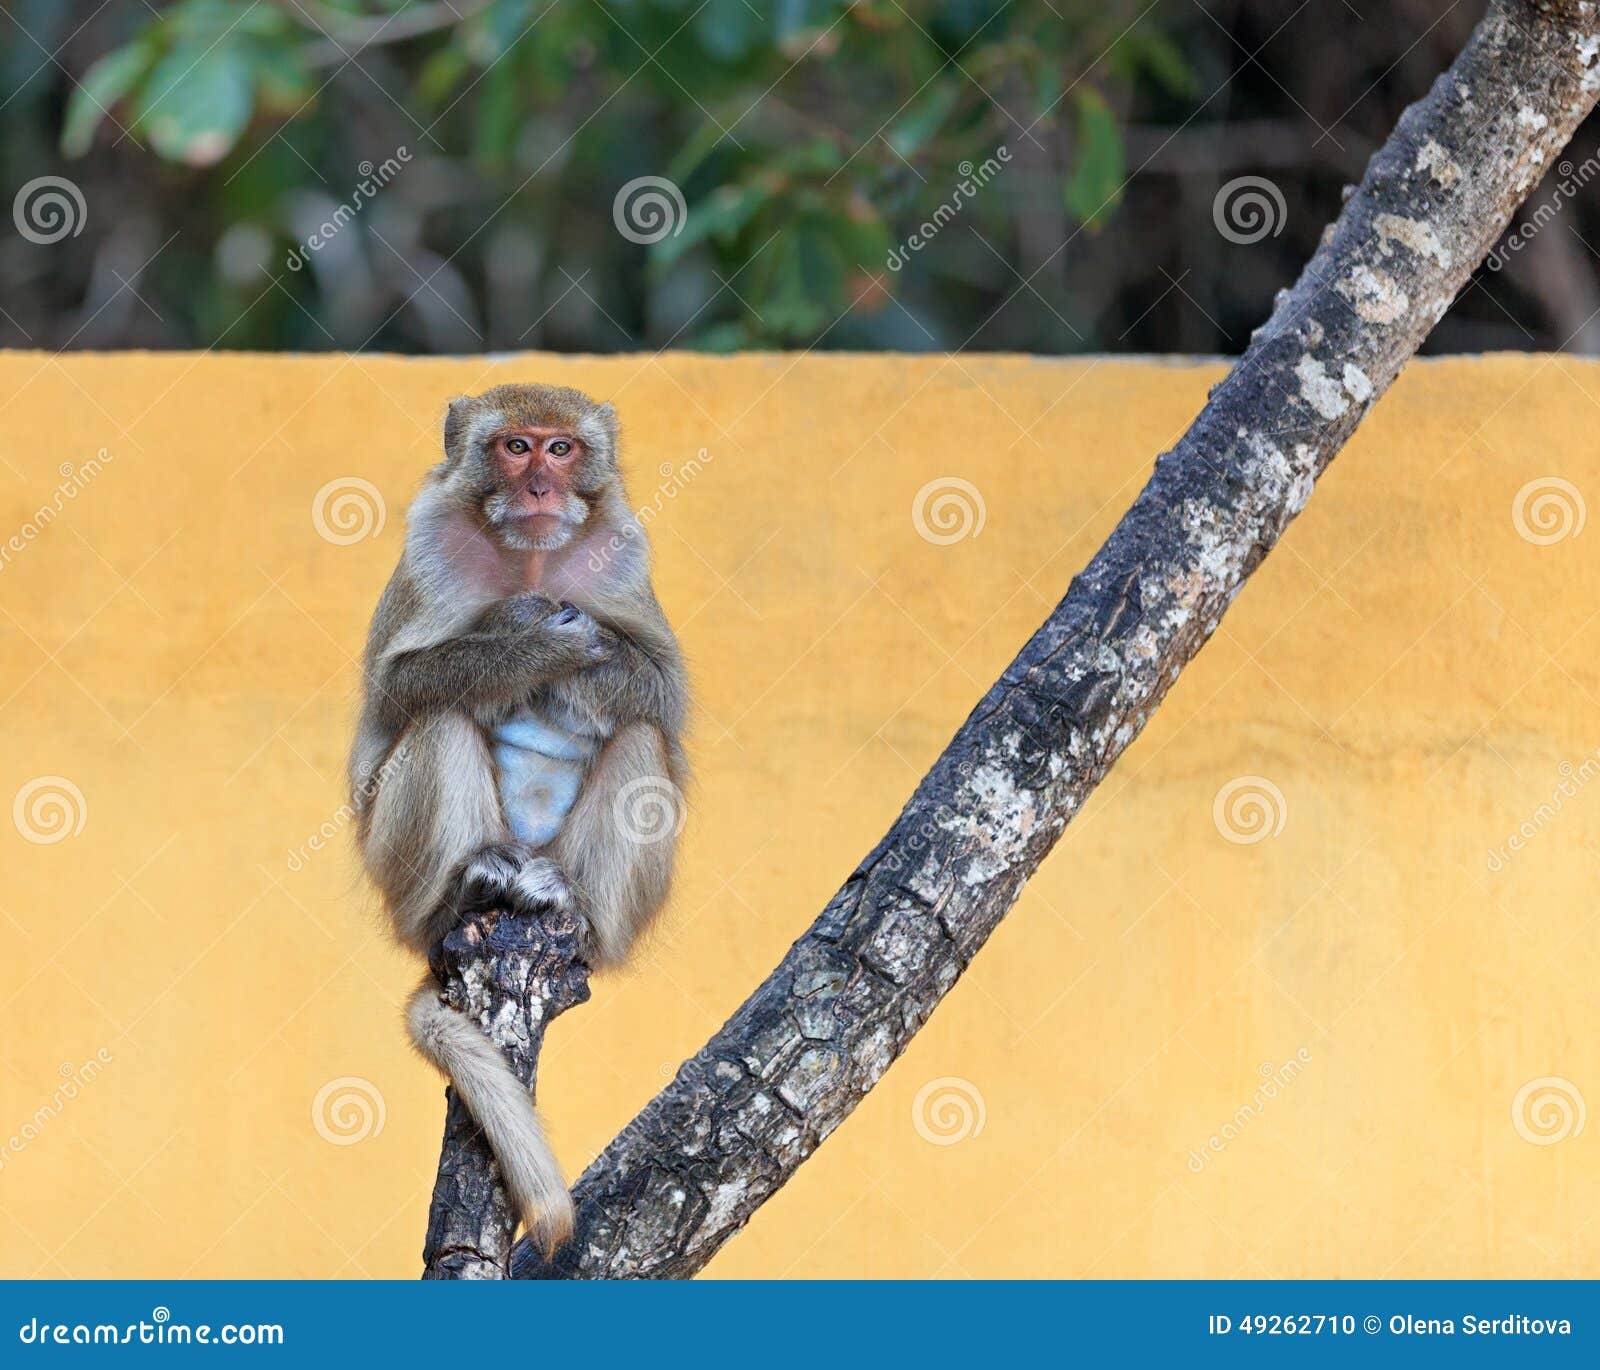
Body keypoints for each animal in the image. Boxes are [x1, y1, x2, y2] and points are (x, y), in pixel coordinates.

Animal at [348, 383, 688, 1253]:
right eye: (516, 445)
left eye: (561, 449)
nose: (538, 486)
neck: (529, 554)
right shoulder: (429, 541)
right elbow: (399, 688)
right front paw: (532, 632)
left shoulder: (626, 550)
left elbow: (662, 695)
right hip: (402, 884)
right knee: (440, 717)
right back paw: (470, 888)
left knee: (639, 736)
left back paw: (569, 909)